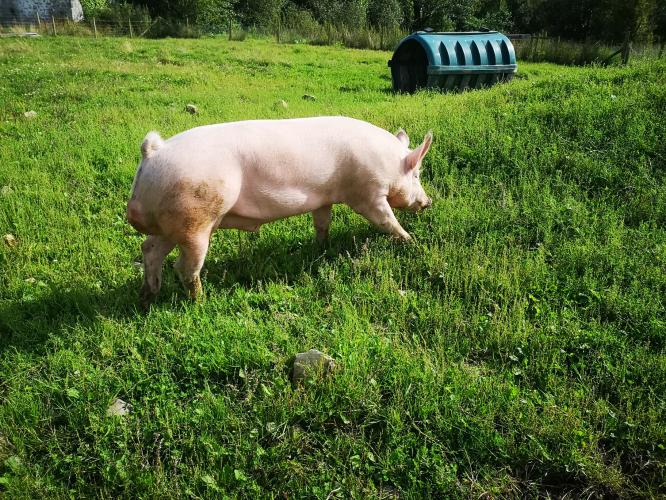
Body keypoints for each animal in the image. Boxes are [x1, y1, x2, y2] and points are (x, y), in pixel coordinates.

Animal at [127, 116, 433, 304]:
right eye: (416, 174)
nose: (427, 202)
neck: (388, 164)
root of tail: (153, 152)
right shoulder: (367, 194)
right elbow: (386, 220)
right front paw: (411, 242)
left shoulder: (323, 199)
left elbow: (322, 222)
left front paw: (322, 247)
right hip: (195, 219)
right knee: (184, 266)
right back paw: (199, 301)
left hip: (169, 224)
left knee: (149, 249)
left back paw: (147, 295)